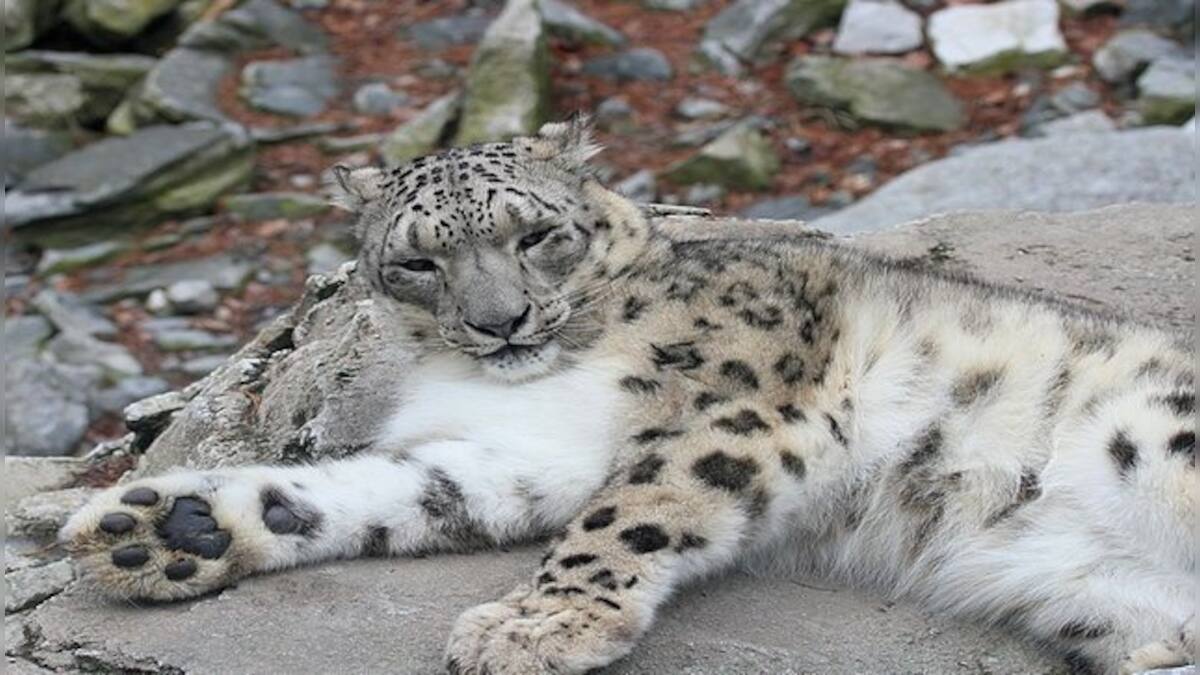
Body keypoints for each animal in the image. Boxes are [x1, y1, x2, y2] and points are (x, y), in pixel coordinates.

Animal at [62, 117, 1196, 675]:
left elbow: (629, 513)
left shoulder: (733, 403)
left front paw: (535, 628)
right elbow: (379, 490)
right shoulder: (511, 456)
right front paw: (173, 527)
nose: (500, 323)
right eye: (419, 263)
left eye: (535, 234)